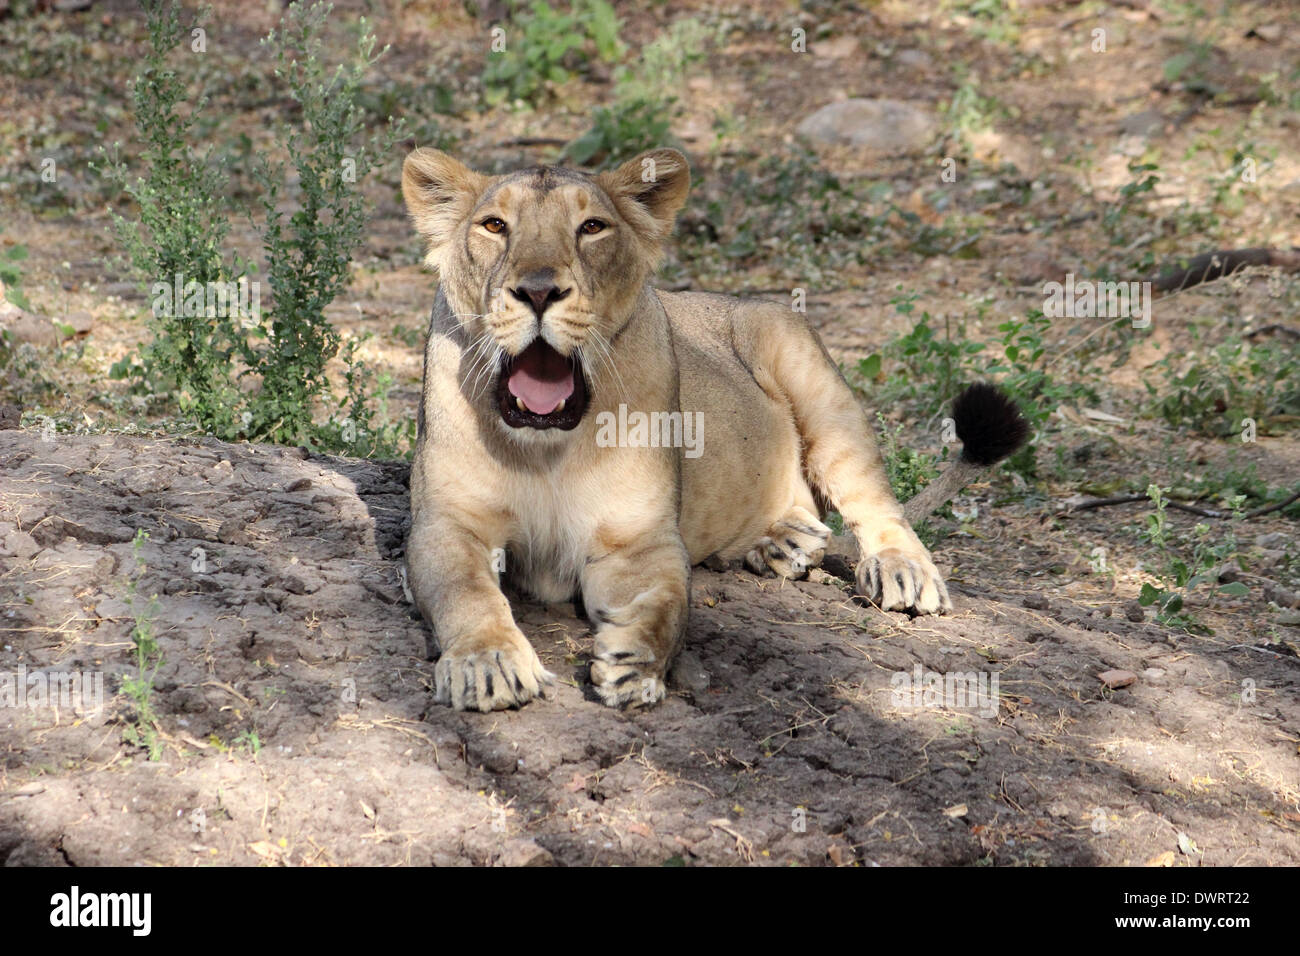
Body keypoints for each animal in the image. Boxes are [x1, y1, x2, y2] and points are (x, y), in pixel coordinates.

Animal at [400, 147, 1027, 712]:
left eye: (591, 227)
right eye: (495, 225)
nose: (537, 291)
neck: (546, 448)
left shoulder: (642, 540)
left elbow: (666, 608)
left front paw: (636, 664)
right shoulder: (446, 525)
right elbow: (467, 593)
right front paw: (489, 664)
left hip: (810, 374)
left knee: (871, 498)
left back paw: (900, 571)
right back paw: (784, 543)